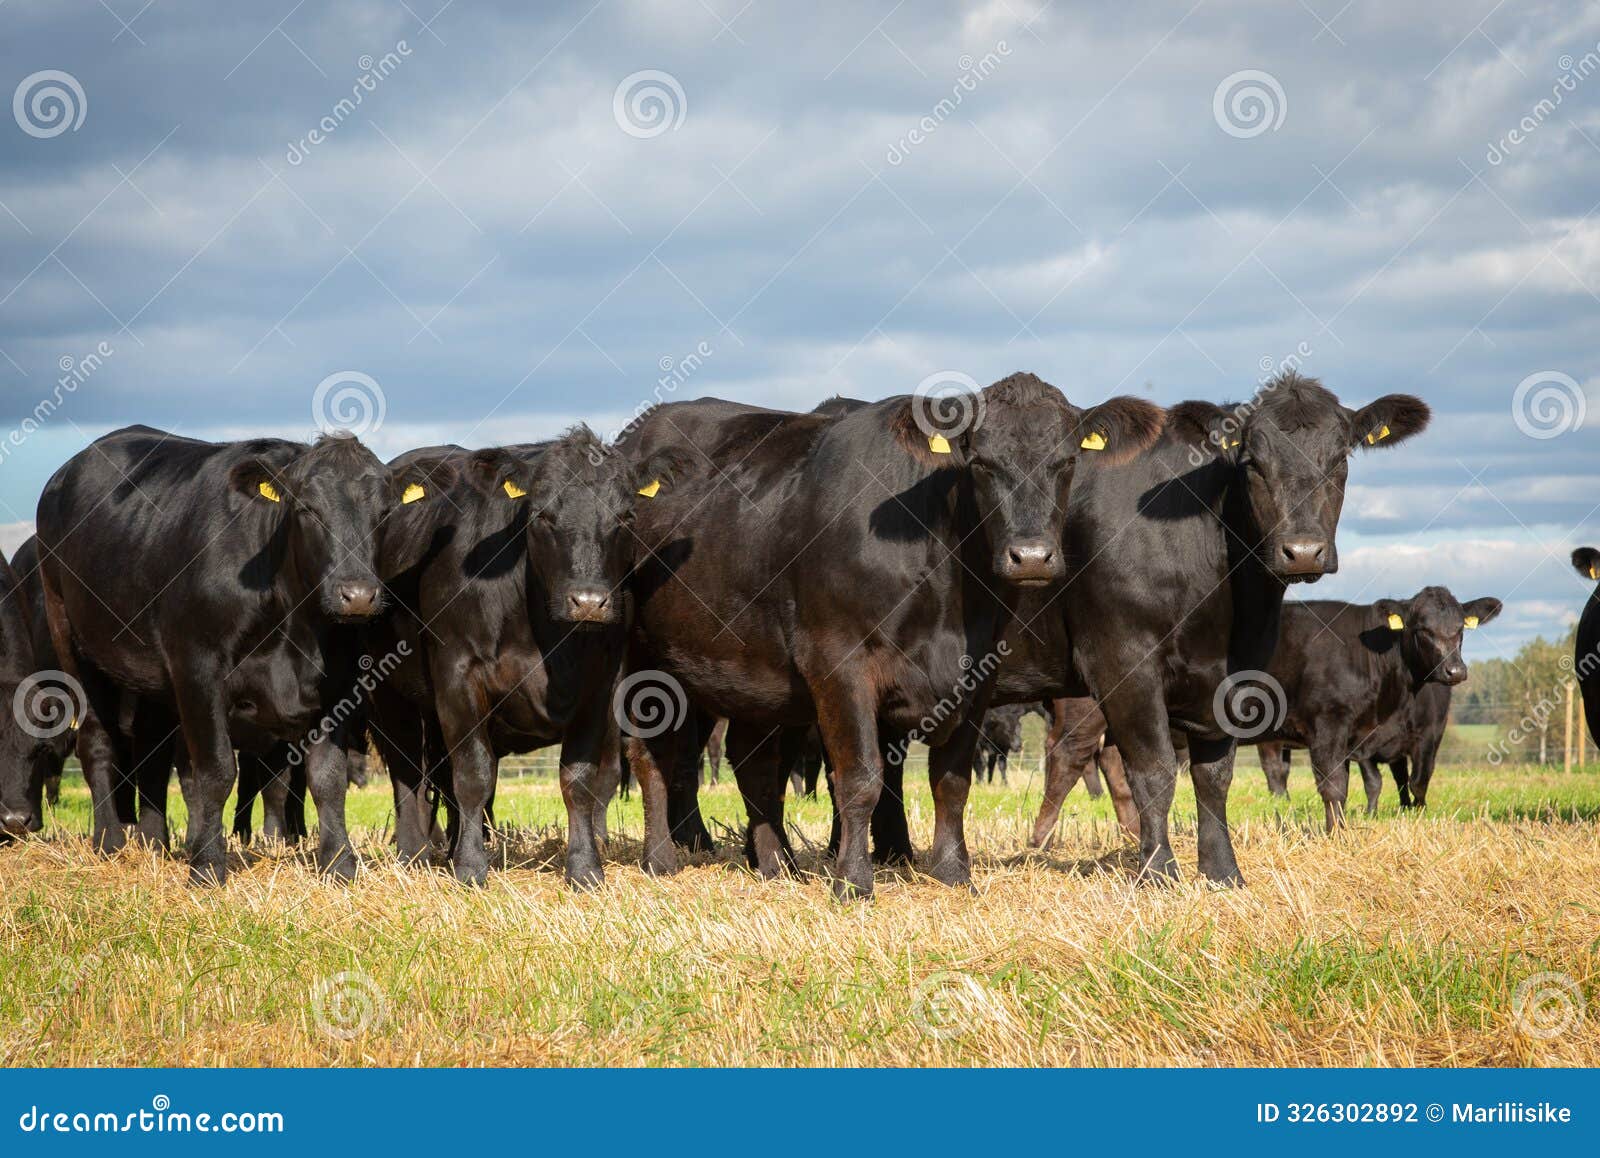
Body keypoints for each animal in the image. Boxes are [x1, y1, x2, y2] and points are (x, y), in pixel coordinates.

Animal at [35, 426, 423, 884]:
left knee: (150, 752)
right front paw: (206, 865)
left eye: (384, 513)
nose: (358, 595)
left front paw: (339, 863)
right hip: (72, 639)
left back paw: (155, 843)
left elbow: (328, 776)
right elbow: (216, 771)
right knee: (97, 741)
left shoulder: (340, 682)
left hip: (148, 678)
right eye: (308, 509)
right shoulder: (198, 668)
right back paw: (109, 842)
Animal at [362, 428, 689, 887]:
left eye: (626, 517)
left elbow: (580, 778)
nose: (589, 602)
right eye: (541, 515)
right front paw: (470, 869)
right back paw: (415, 853)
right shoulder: (458, 676)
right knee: (406, 766)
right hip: (388, 691)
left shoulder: (597, 684)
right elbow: (474, 774)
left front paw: (585, 868)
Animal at [618, 374, 1163, 898]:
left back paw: (778, 866)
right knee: (652, 755)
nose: (1030, 557)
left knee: (754, 762)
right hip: (644, 659)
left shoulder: (978, 677)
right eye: (981, 463)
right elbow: (860, 778)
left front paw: (953, 874)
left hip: (753, 673)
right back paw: (661, 859)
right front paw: (853, 882)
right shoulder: (838, 664)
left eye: (1066, 461)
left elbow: (952, 780)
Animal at [1055, 372, 1430, 884]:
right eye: (1252, 462)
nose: (1304, 551)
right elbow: (1154, 770)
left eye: (1340, 459)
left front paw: (1222, 874)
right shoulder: (1121, 660)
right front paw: (1158, 874)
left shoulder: (1228, 675)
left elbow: (1214, 776)